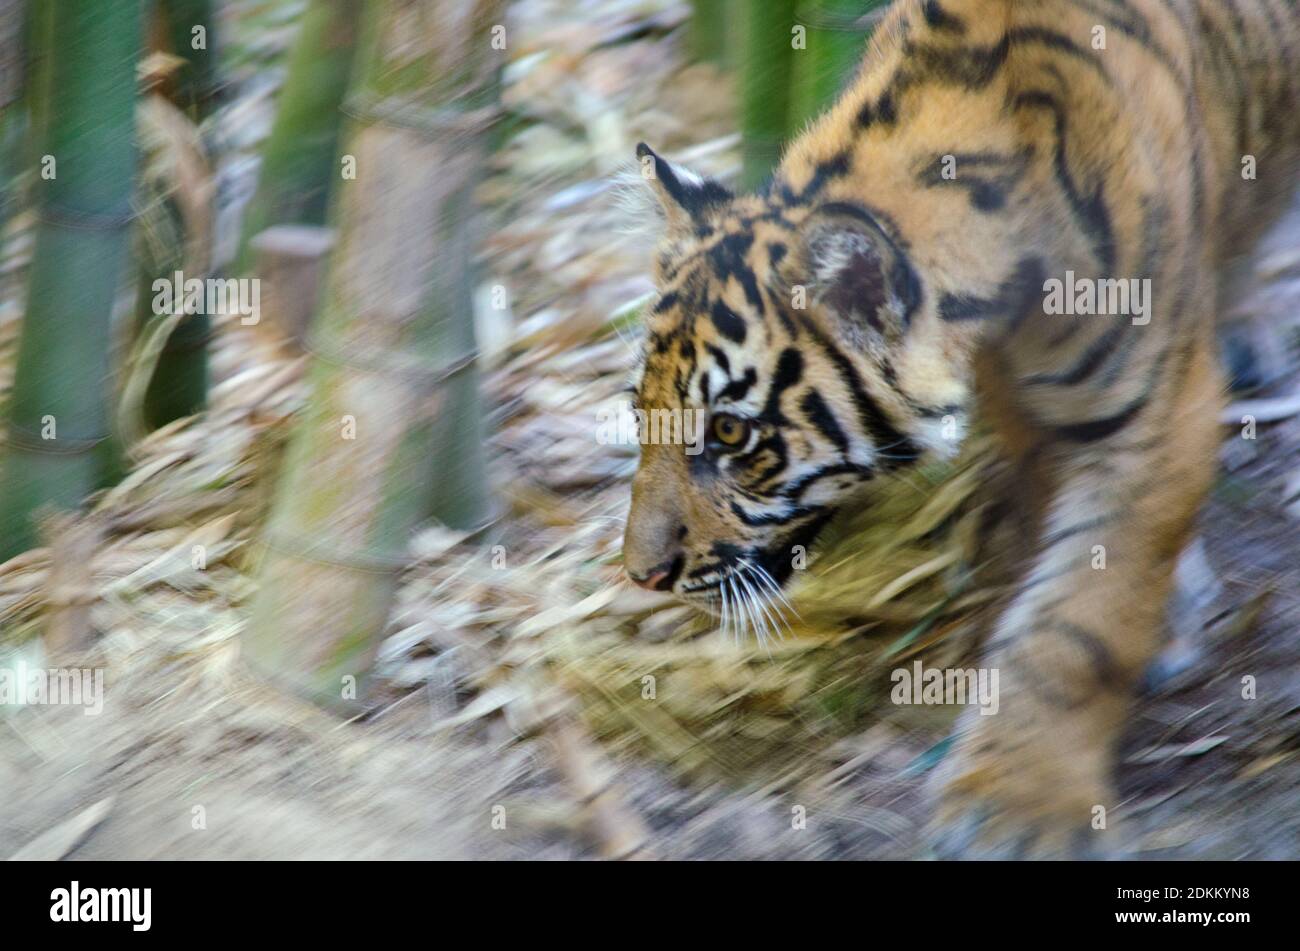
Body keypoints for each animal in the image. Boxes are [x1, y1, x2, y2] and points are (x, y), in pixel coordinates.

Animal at [621, 0, 1300, 857]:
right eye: (643, 413)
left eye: (732, 435)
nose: (640, 575)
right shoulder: (1021, 403)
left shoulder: (1151, 411)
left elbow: (1084, 613)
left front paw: (1019, 805)